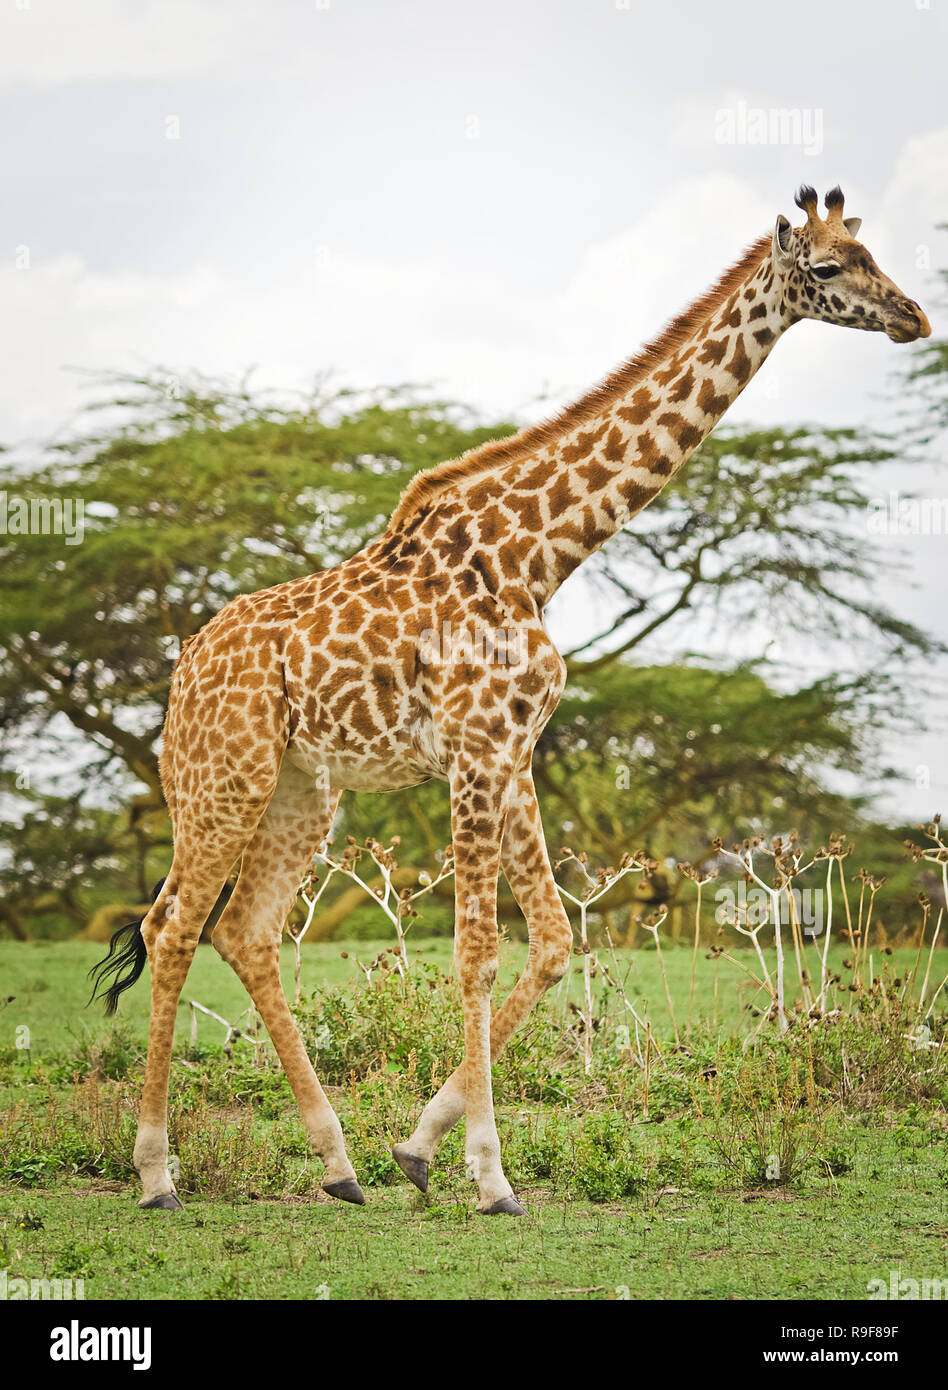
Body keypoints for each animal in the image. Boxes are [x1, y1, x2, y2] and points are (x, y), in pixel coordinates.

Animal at [91, 185, 930, 1215]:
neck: (539, 553)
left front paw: (419, 1146)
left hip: (302, 788)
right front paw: (490, 1177)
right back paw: (156, 1173)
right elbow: (478, 951)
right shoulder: (475, 748)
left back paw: (338, 1165)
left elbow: (555, 941)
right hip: (226, 778)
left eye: (871, 253)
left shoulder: (513, 747)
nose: (913, 317)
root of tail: (179, 676)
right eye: (827, 267)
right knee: (171, 927)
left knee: (245, 932)